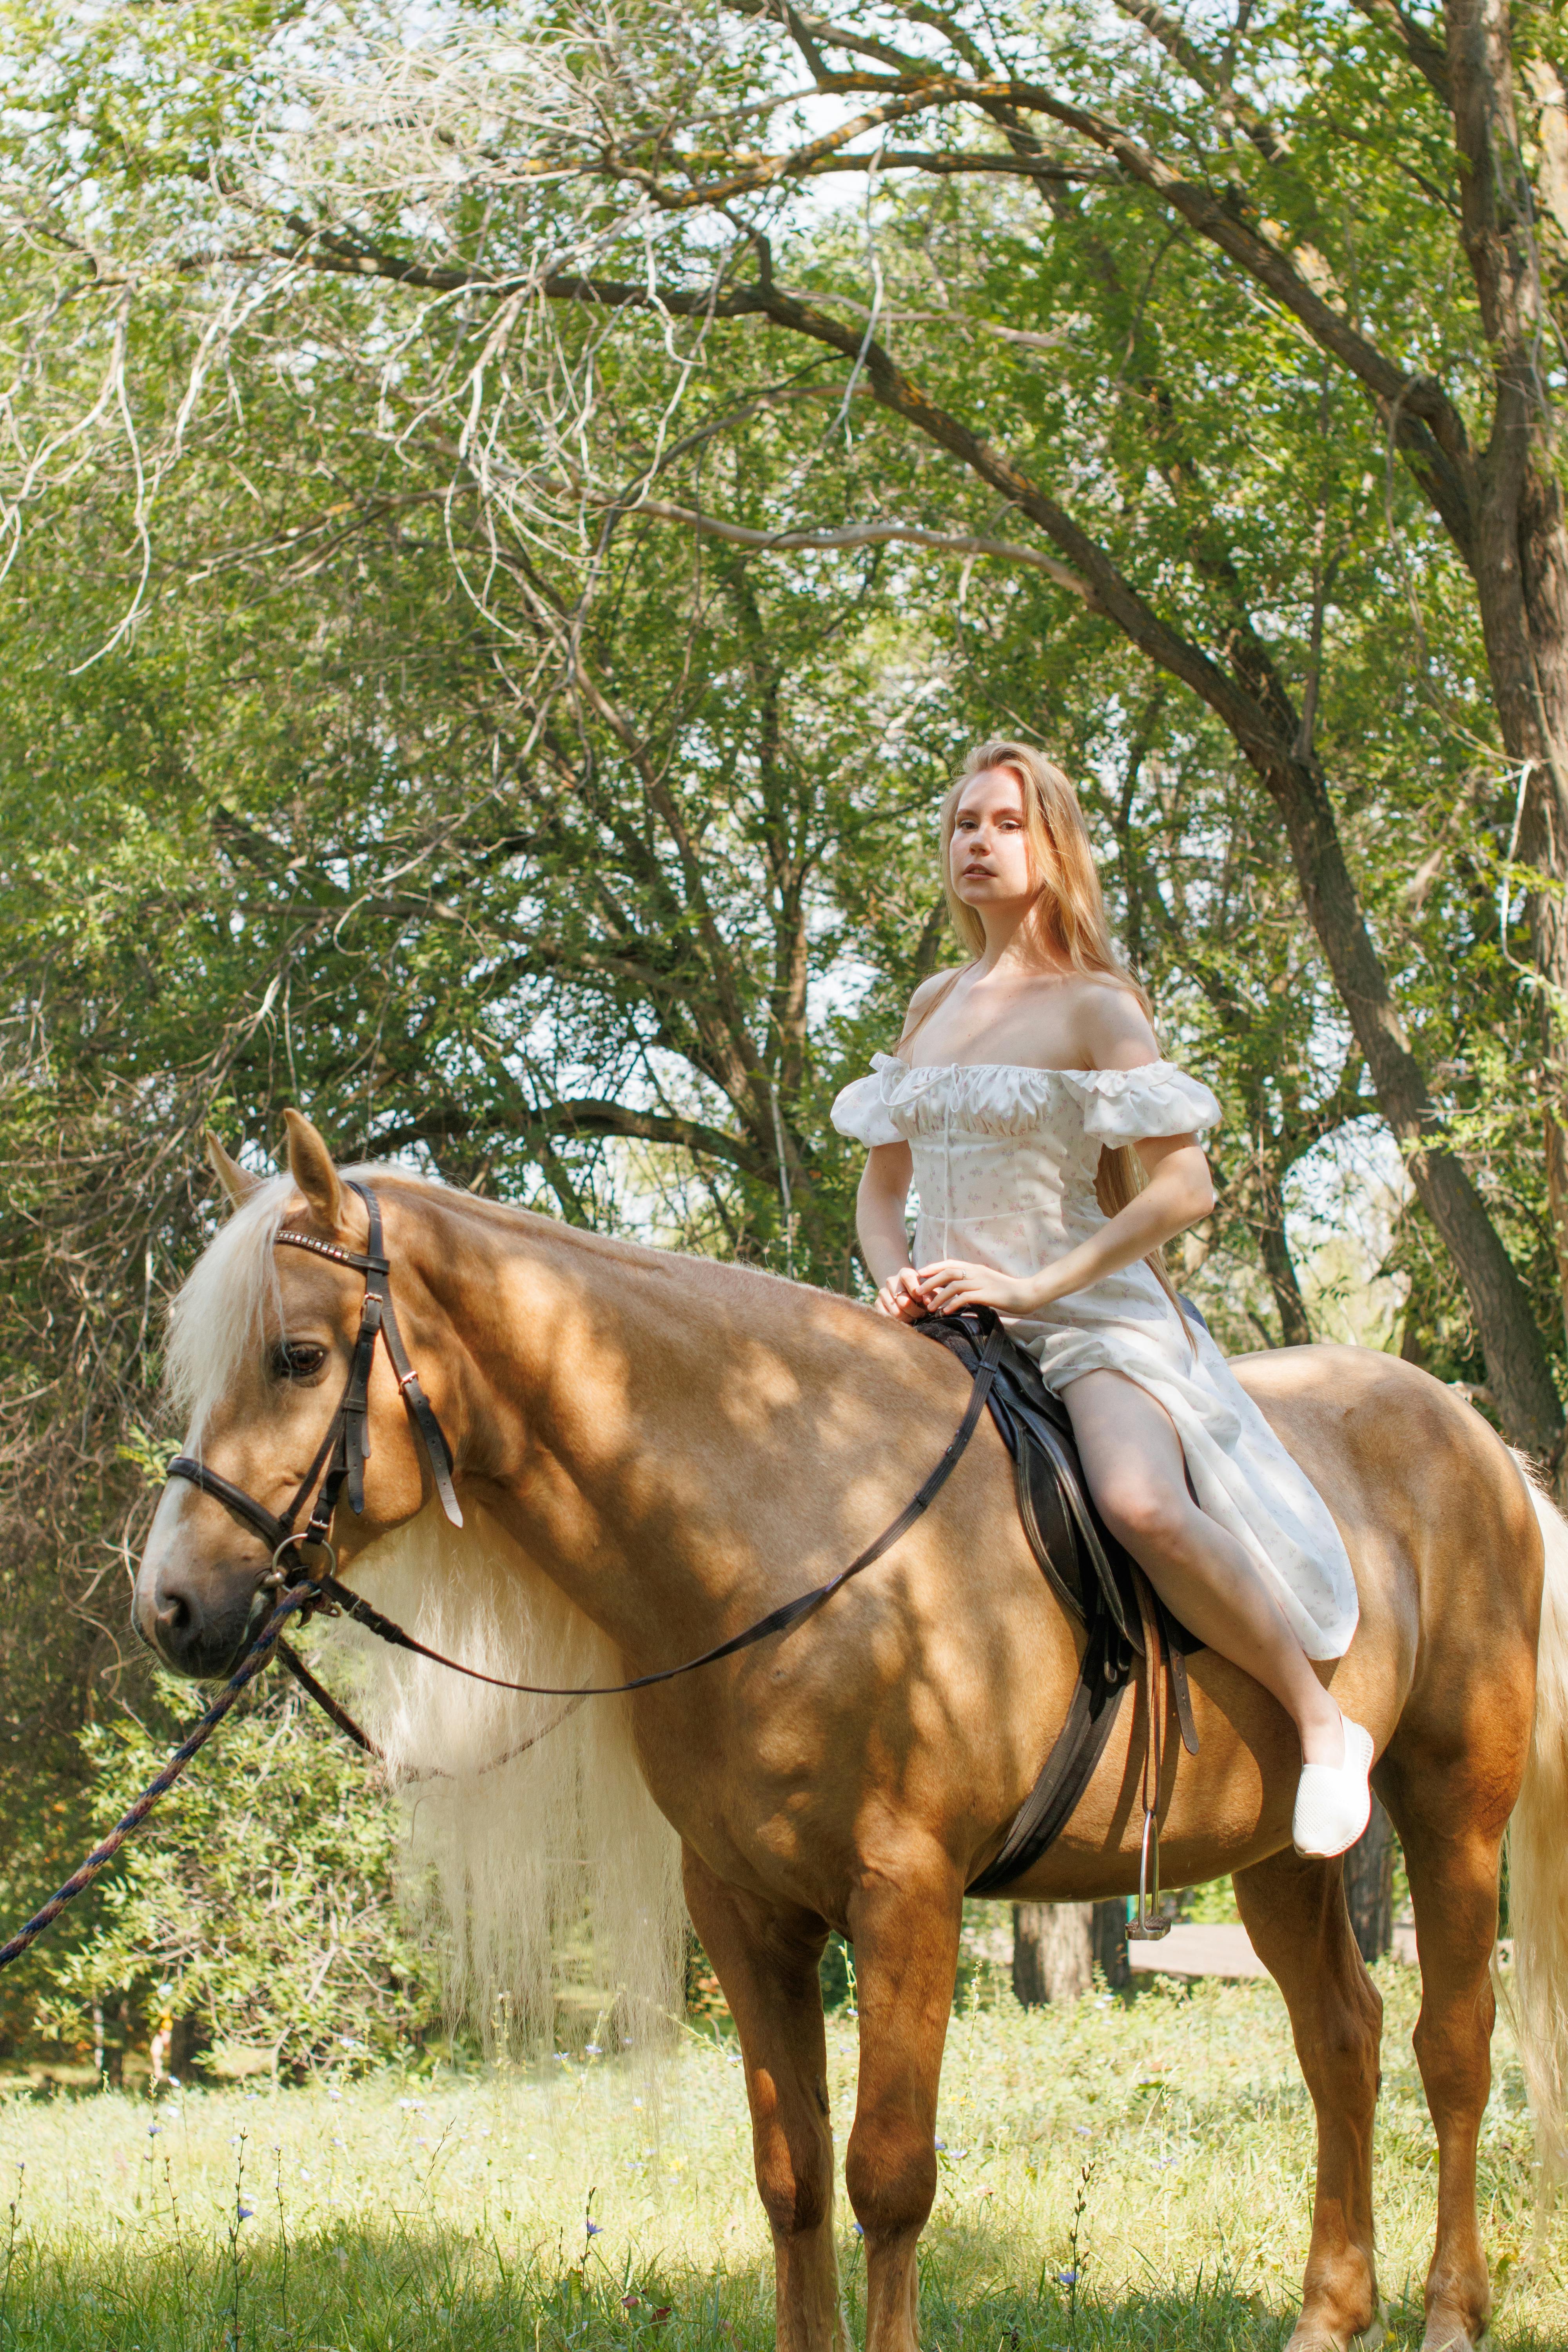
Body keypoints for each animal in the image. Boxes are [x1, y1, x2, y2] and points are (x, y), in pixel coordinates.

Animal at [133, 1110, 1568, 2352]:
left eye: (299, 1357)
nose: (174, 1607)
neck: (793, 1509)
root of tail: (1477, 1445)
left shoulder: (905, 1895)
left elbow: (888, 2177)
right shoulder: (746, 1911)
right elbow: (794, 2178)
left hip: (1456, 1809)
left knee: (1450, 2049)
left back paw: (1451, 2312)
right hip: (1277, 1857)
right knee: (1343, 2044)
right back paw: (1330, 2314)